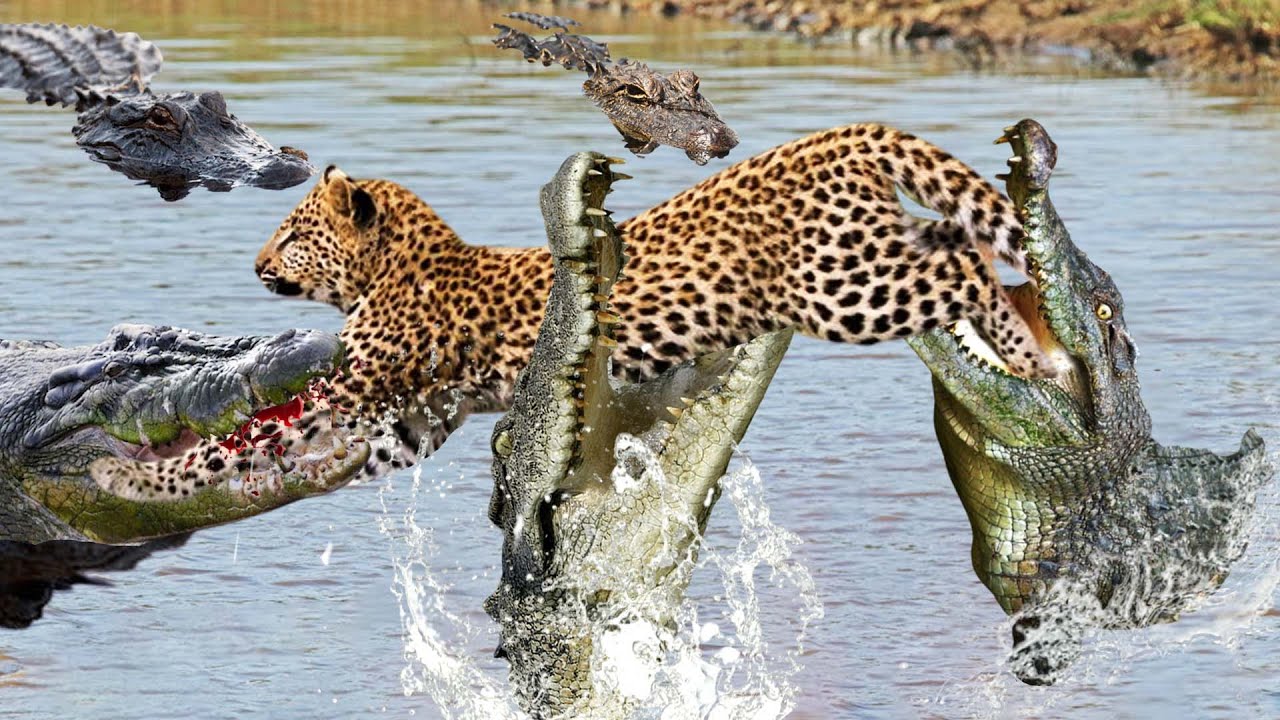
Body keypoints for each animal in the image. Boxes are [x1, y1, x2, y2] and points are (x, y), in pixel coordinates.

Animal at [138, 122, 1052, 490]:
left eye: (293, 235)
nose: (258, 264)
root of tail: (840, 137)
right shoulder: (412, 417)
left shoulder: (355, 389)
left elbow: (241, 437)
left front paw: (151, 474)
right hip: (876, 254)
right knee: (964, 244)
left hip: (847, 289)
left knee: (970, 266)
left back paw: (1034, 353)